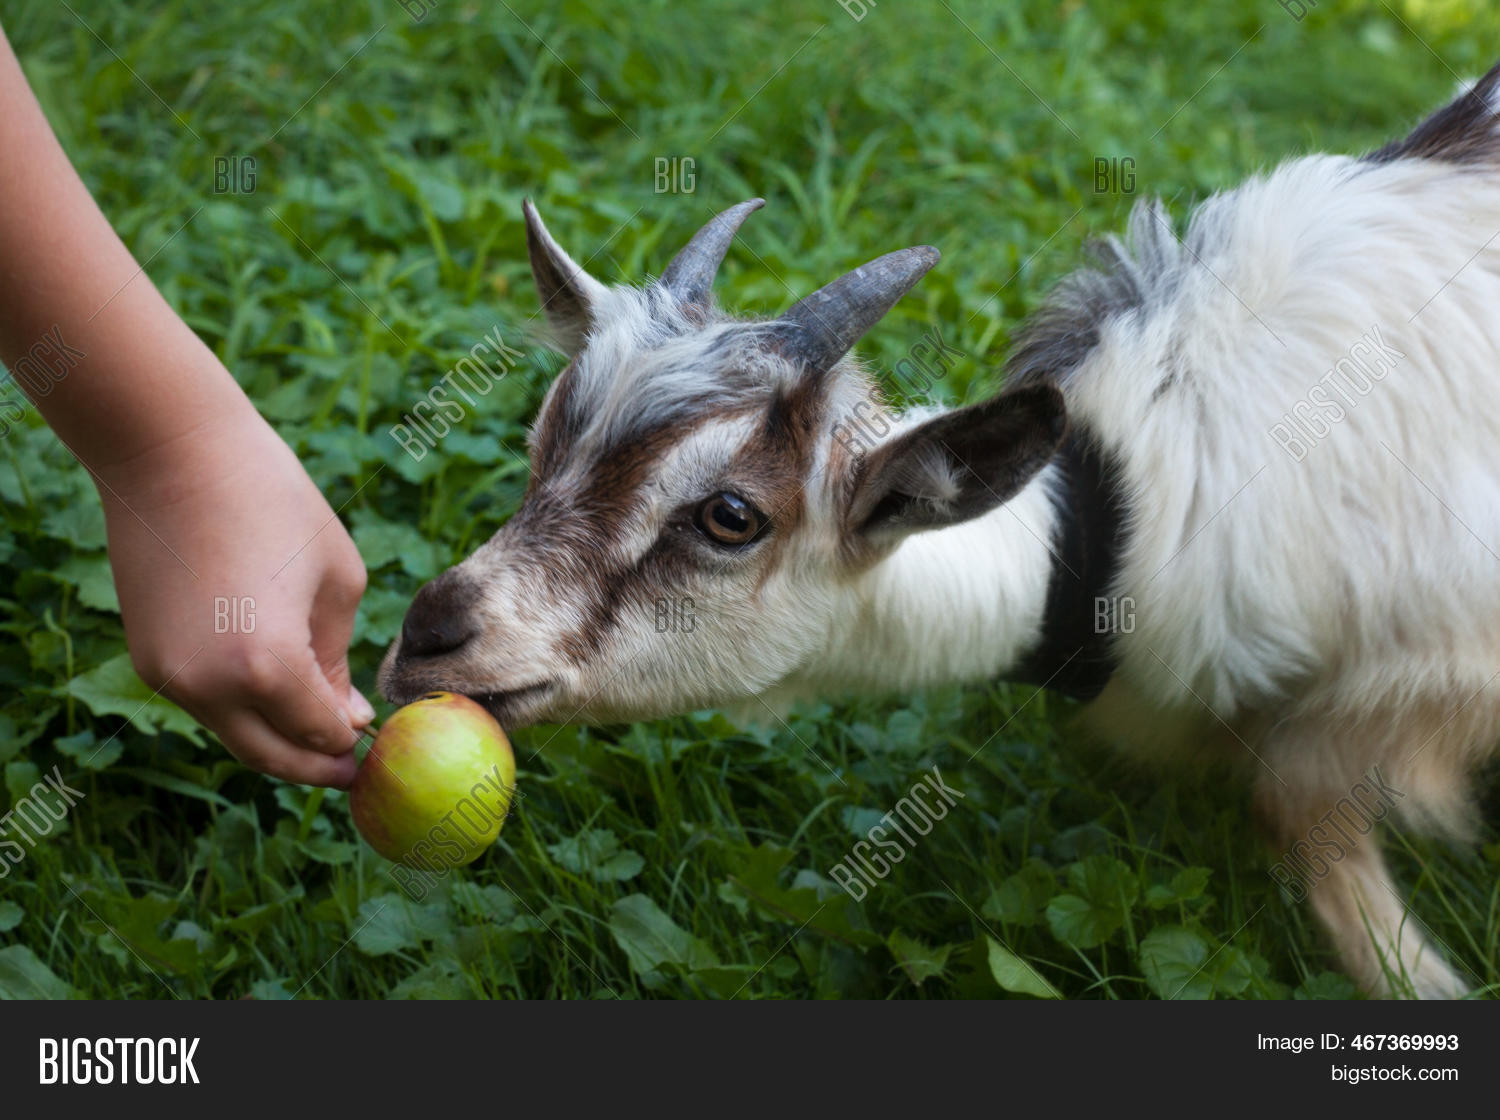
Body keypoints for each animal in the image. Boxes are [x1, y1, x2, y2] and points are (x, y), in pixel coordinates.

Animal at [380, 65, 1500, 998]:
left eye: (731, 516)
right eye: (542, 438)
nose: (430, 636)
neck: (1124, 518)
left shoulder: (1437, 666)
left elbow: (1294, 796)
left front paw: (1425, 985)